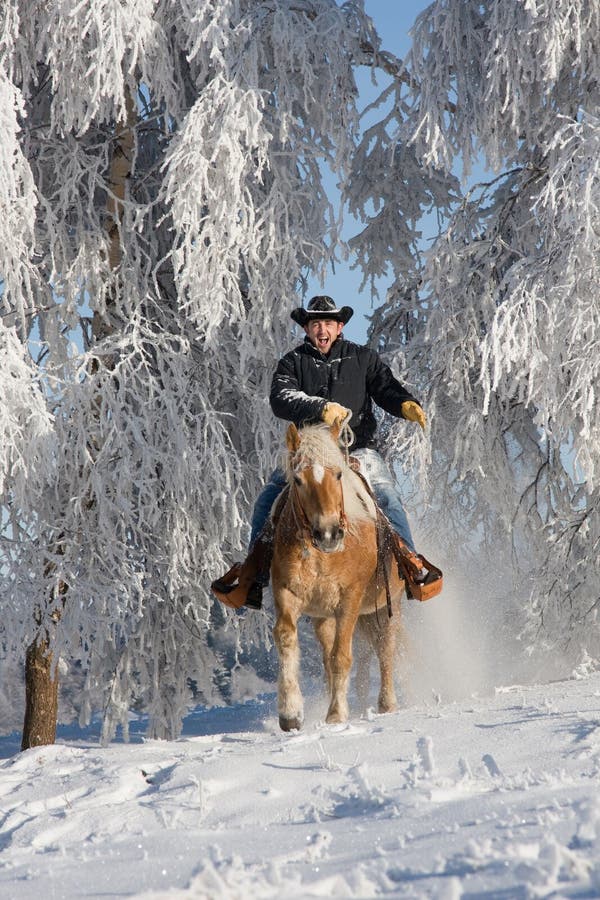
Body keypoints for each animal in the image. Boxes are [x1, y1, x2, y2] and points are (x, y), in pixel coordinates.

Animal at [271, 420, 406, 731]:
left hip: (386, 606)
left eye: (338, 474)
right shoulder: (286, 592)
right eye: (298, 480)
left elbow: (341, 657)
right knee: (327, 655)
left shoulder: (350, 599)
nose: (329, 533)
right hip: (323, 616)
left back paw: (387, 704)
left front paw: (336, 715)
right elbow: (286, 639)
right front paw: (290, 713)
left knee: (386, 648)